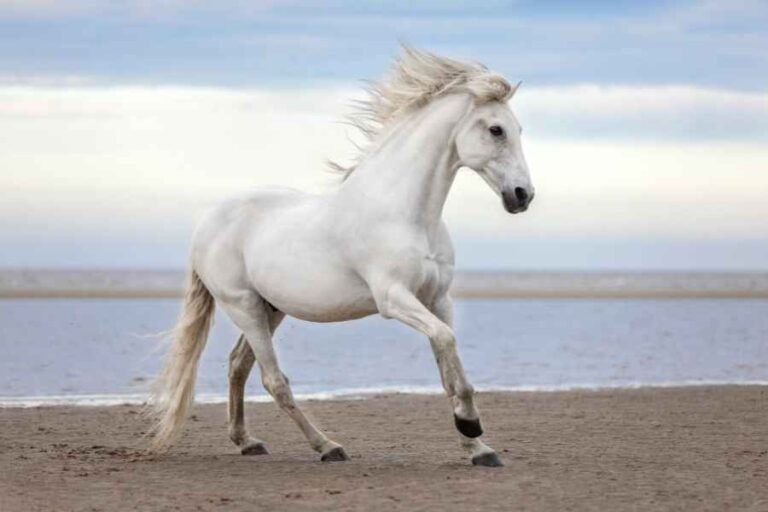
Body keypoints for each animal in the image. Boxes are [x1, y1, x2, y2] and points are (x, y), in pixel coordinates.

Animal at [148, 46, 534, 467]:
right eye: (496, 130)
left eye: (518, 129)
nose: (523, 195)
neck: (407, 214)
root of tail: (207, 223)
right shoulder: (394, 299)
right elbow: (447, 343)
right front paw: (470, 424)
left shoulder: (437, 301)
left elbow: (449, 364)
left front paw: (479, 448)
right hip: (244, 306)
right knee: (273, 380)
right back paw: (327, 446)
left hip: (271, 308)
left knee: (238, 366)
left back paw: (247, 441)